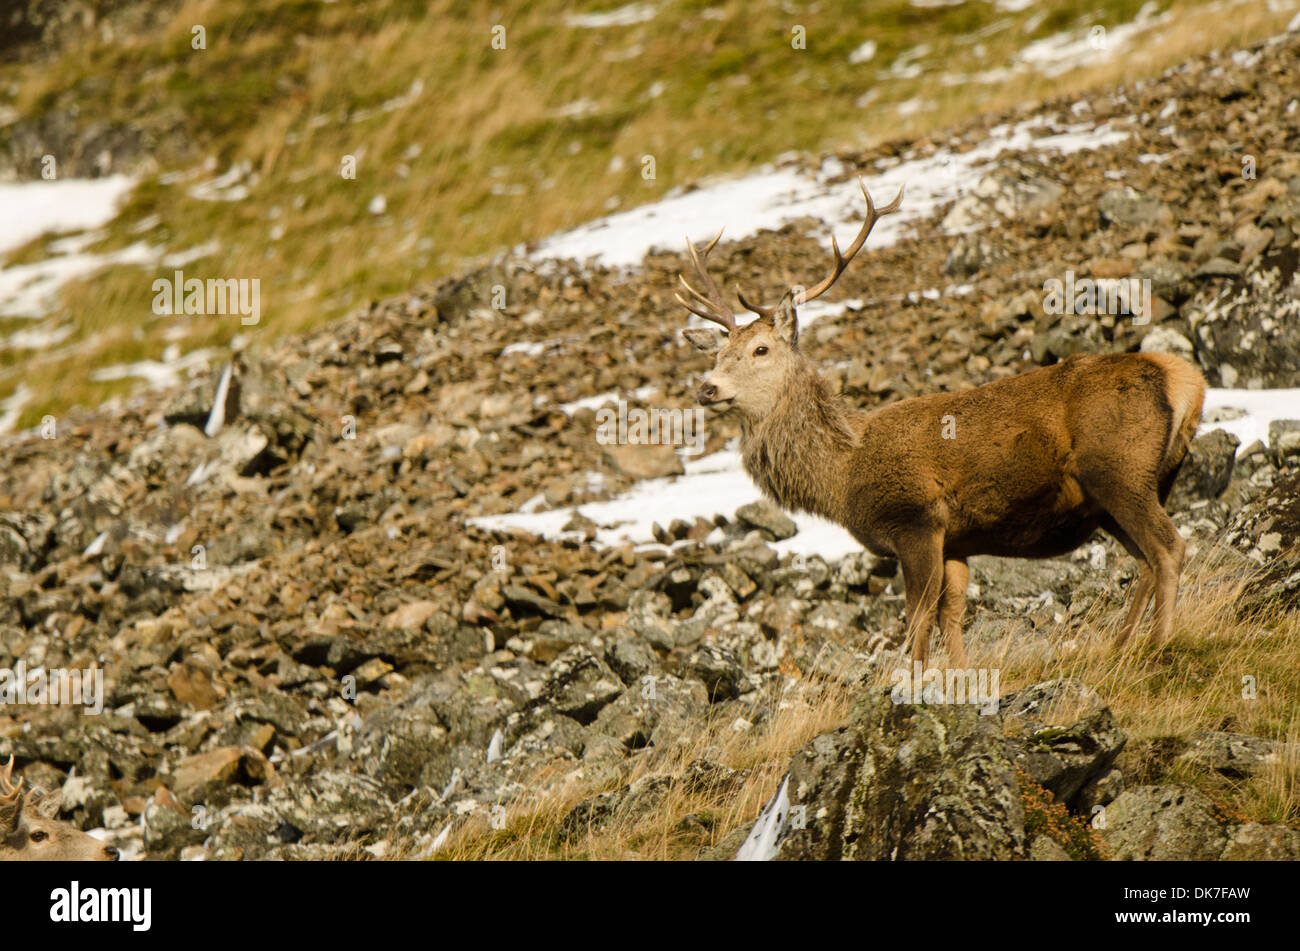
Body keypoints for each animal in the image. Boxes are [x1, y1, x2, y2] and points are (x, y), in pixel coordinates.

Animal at [676, 180, 1205, 668]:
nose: (706, 388)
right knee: (1144, 560)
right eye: (717, 354)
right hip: (1117, 495)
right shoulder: (956, 542)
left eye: (761, 349)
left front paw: (907, 684)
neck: (843, 476)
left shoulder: (914, 518)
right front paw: (957, 675)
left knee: (1168, 548)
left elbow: (918, 619)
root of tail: (1187, 382)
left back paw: (1163, 643)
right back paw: (1123, 645)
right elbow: (951, 617)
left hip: (1120, 469)